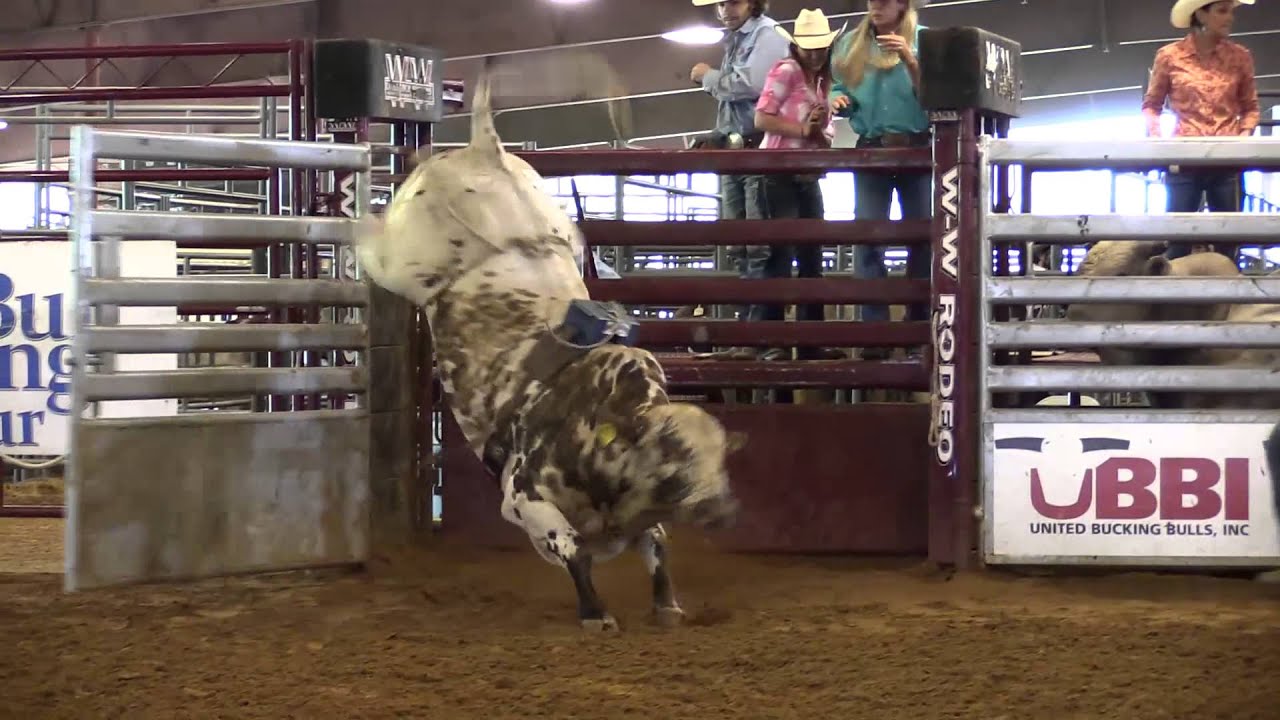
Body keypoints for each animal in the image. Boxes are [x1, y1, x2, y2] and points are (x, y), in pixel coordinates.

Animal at [353, 59, 743, 632]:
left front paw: (667, 605)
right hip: (400, 260)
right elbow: (571, 546)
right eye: (674, 456)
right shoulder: (523, 498)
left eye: (719, 457)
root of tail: (487, 149)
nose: (721, 509)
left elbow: (657, 545)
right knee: (371, 242)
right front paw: (595, 613)